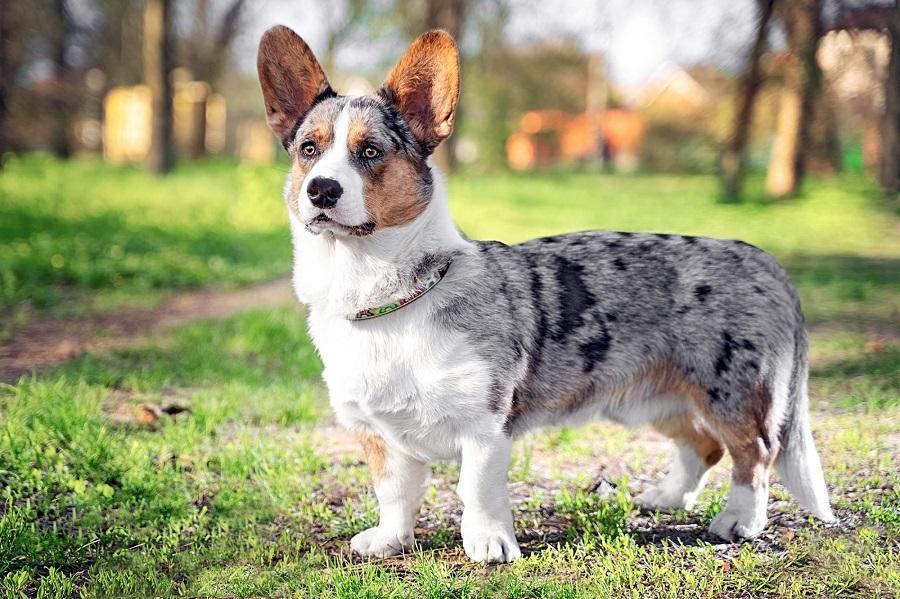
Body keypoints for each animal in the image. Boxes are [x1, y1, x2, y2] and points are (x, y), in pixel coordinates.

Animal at [256, 27, 832, 564]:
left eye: (370, 151)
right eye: (309, 150)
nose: (322, 190)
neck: (386, 296)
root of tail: (765, 262)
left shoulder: (485, 428)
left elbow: (475, 490)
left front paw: (489, 545)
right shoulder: (378, 433)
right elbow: (394, 494)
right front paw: (389, 542)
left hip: (732, 395)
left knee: (754, 454)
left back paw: (740, 522)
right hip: (653, 399)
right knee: (703, 445)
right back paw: (667, 497)